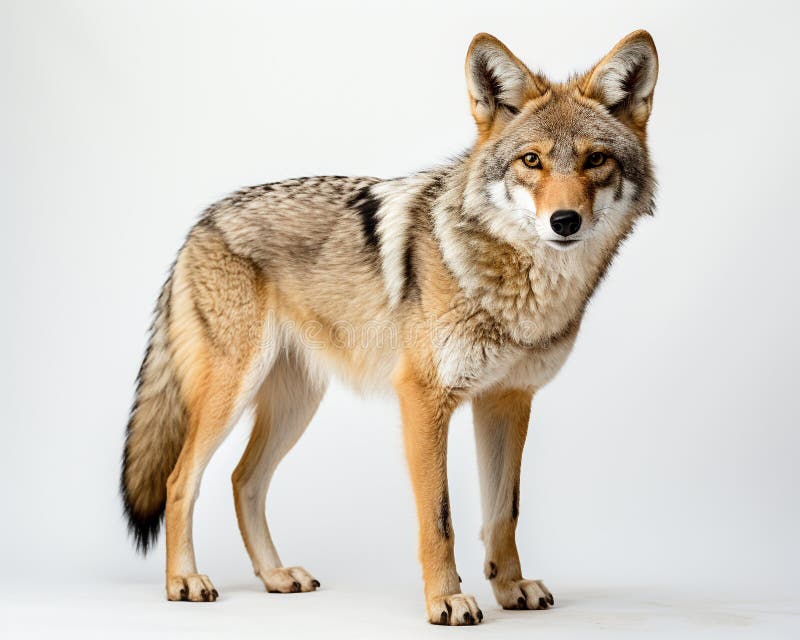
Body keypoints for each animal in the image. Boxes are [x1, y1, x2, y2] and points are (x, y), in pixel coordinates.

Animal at [121, 30, 658, 624]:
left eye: (596, 160)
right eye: (532, 161)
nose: (564, 222)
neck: (519, 291)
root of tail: (201, 221)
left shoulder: (508, 401)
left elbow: (505, 512)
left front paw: (511, 588)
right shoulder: (424, 399)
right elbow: (439, 518)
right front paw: (447, 599)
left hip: (296, 403)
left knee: (244, 480)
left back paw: (276, 576)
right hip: (232, 392)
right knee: (180, 479)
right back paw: (184, 580)